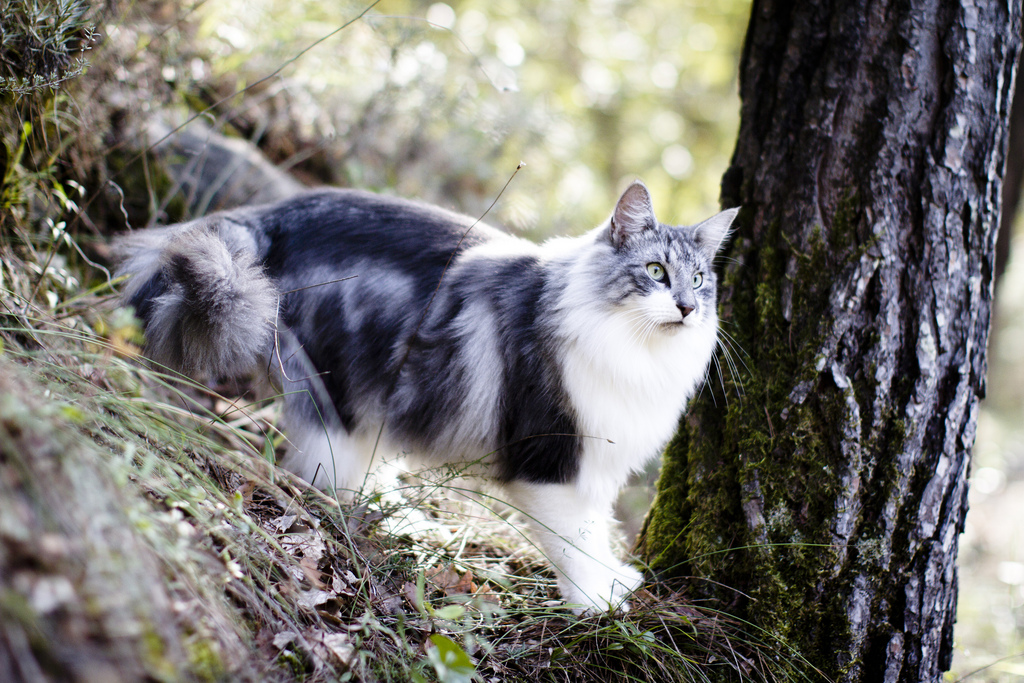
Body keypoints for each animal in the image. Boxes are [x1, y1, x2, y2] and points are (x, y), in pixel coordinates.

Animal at [114, 181, 737, 614]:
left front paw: (616, 580)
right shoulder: (551, 458)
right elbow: (576, 543)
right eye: (655, 272)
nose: (685, 307)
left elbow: (598, 531)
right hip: (338, 388)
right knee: (321, 473)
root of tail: (270, 215)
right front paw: (597, 604)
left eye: (699, 281)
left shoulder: (598, 465)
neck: (636, 352)